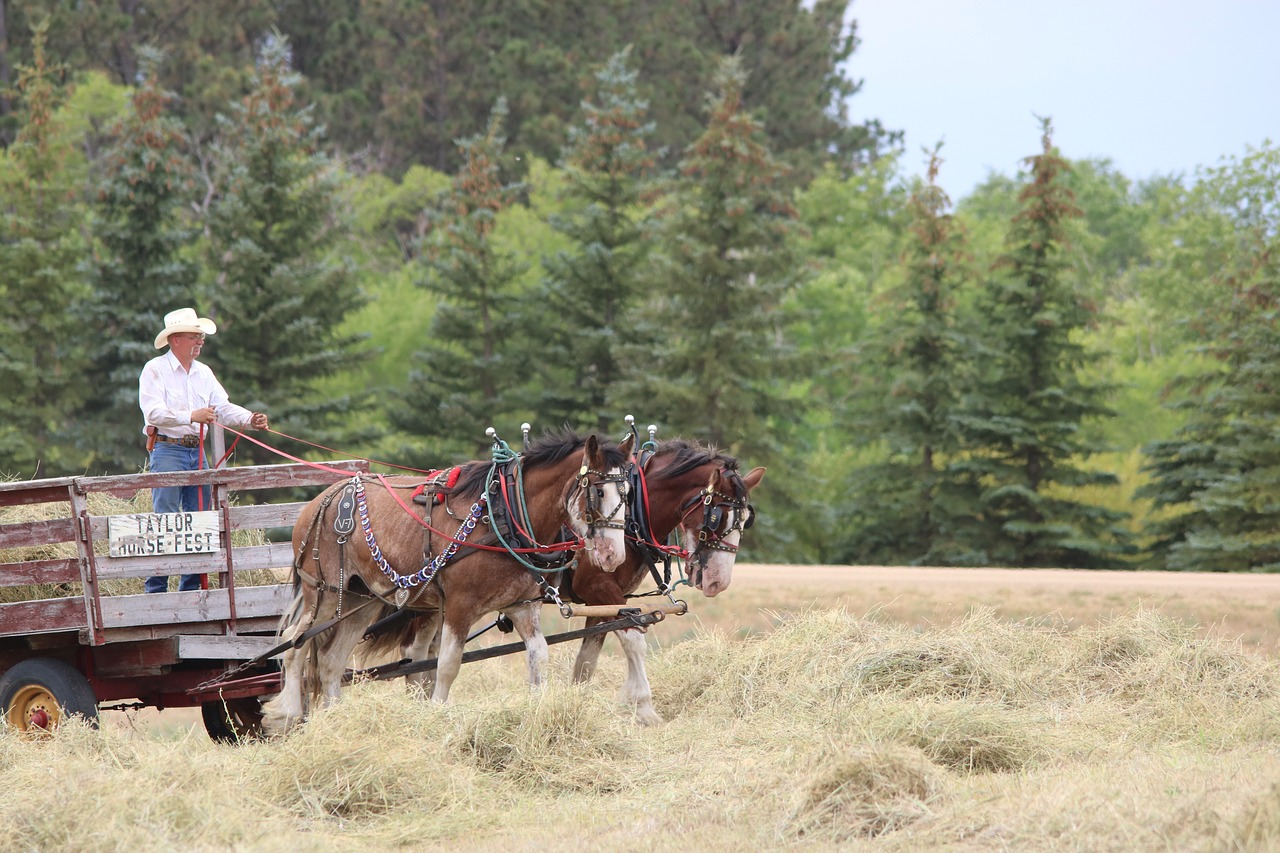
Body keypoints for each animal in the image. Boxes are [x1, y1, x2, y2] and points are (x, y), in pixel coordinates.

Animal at [262, 427, 637, 732]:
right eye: (598, 492)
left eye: (629, 492)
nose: (613, 556)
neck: (506, 513)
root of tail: (319, 501)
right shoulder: (460, 606)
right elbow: (447, 666)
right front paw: (438, 716)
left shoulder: (523, 605)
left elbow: (538, 657)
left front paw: (539, 713)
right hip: (323, 592)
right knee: (295, 644)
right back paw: (288, 715)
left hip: (361, 598)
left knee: (330, 661)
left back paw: (337, 718)